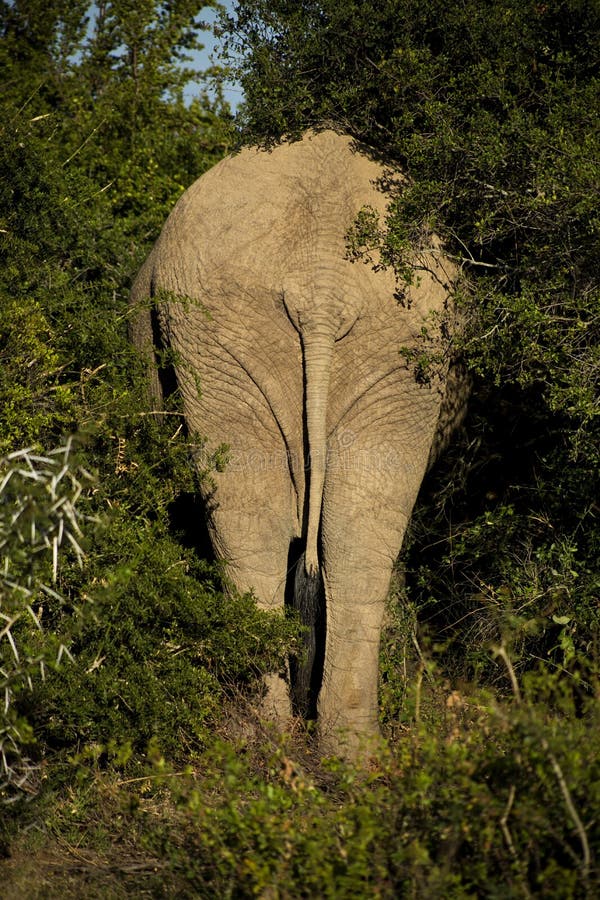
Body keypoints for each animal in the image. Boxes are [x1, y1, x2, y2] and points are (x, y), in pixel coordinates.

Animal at [131, 129, 462, 757]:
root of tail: (321, 286)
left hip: (236, 332)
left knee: (263, 523)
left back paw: (270, 741)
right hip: (391, 348)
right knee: (344, 533)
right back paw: (339, 754)